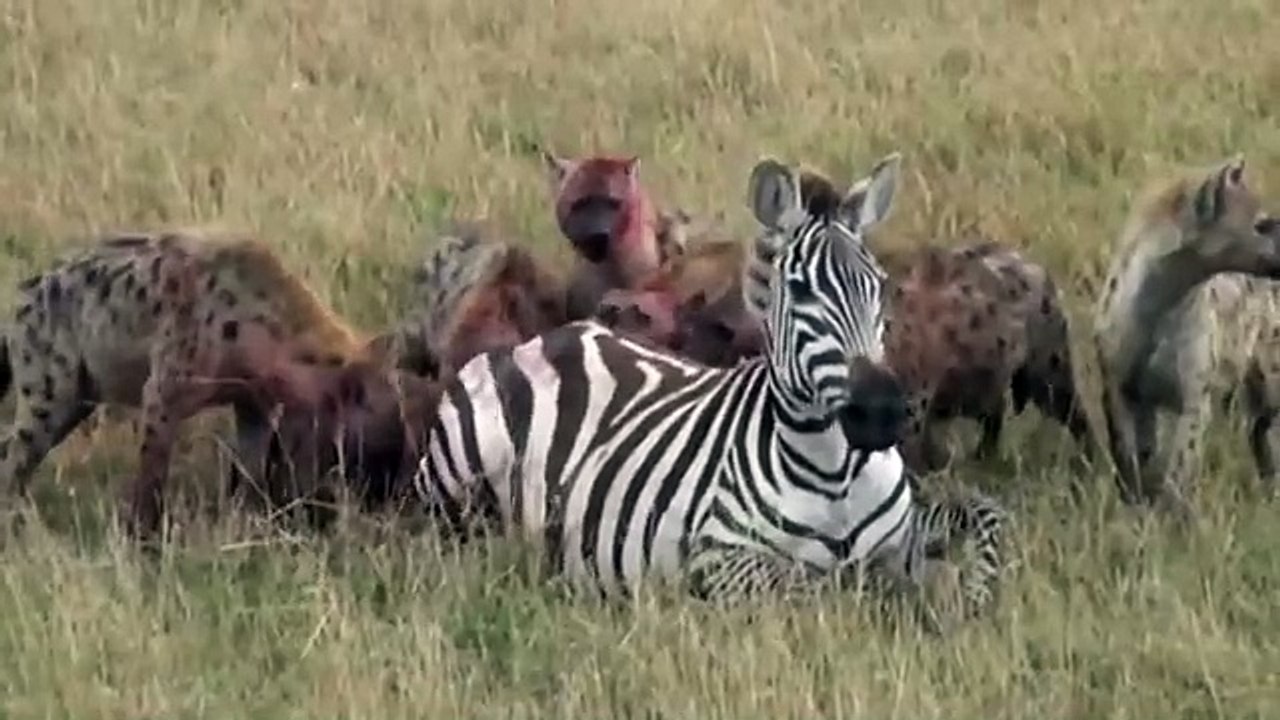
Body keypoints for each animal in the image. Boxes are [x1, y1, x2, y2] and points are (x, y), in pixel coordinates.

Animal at [414, 152, 1006, 614]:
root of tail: (543, 338)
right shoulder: (718, 557)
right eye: (800, 291)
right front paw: (901, 596)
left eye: (879, 286)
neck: (835, 473)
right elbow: (818, 589)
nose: (880, 411)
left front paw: (966, 594)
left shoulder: (910, 524)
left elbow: (987, 515)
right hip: (456, 489)